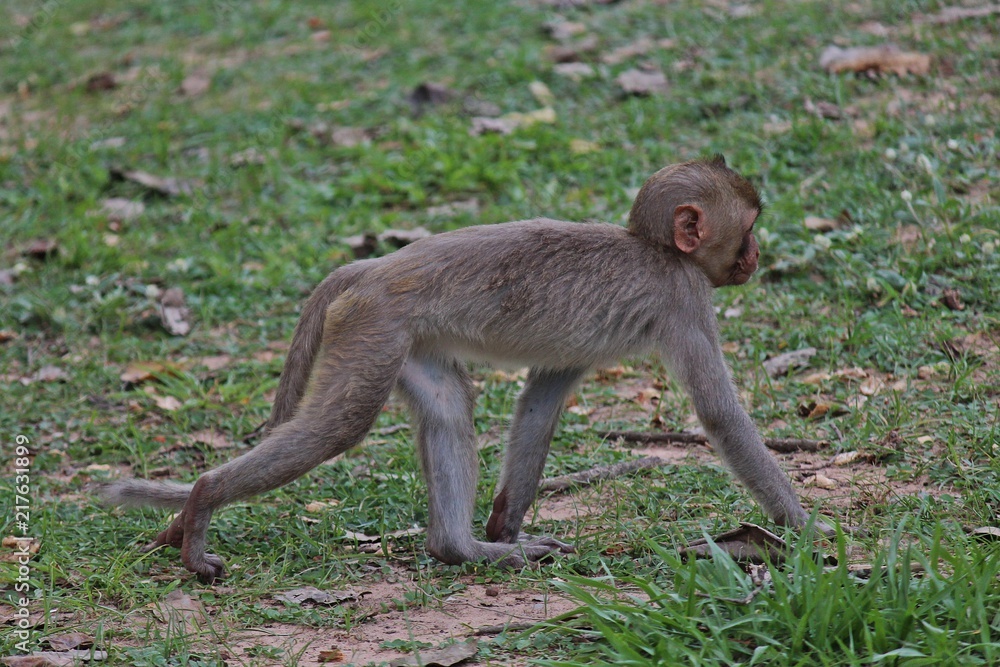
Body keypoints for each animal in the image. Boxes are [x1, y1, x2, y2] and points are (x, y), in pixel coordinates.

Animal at [101, 156, 824, 584]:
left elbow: (539, 402)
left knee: (448, 407)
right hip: (372, 329)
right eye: (748, 227)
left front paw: (506, 523)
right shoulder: (684, 296)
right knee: (336, 428)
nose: (755, 257)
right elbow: (720, 415)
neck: (655, 249)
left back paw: (463, 547)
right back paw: (202, 500)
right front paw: (808, 529)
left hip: (401, 341)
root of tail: (373, 268)